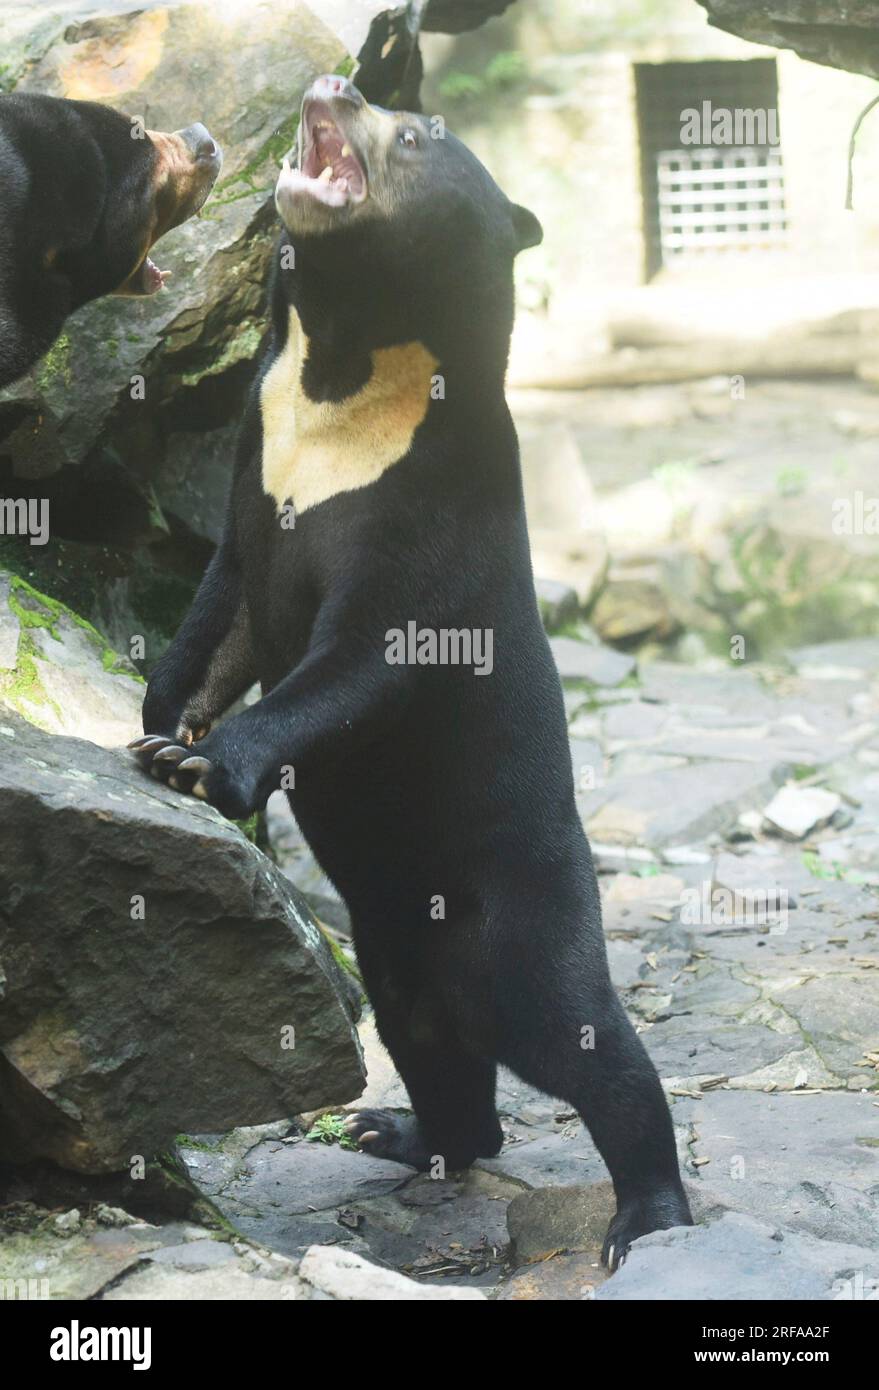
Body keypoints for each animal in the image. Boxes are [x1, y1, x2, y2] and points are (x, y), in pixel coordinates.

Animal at [131, 73, 693, 1269]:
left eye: (414, 131)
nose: (335, 82)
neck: (344, 374)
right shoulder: (257, 472)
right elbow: (223, 616)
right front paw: (161, 733)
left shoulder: (431, 503)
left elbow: (361, 664)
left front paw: (209, 767)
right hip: (393, 961)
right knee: (438, 1063)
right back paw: (395, 1129)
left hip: (525, 910)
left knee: (592, 1049)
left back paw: (647, 1218)